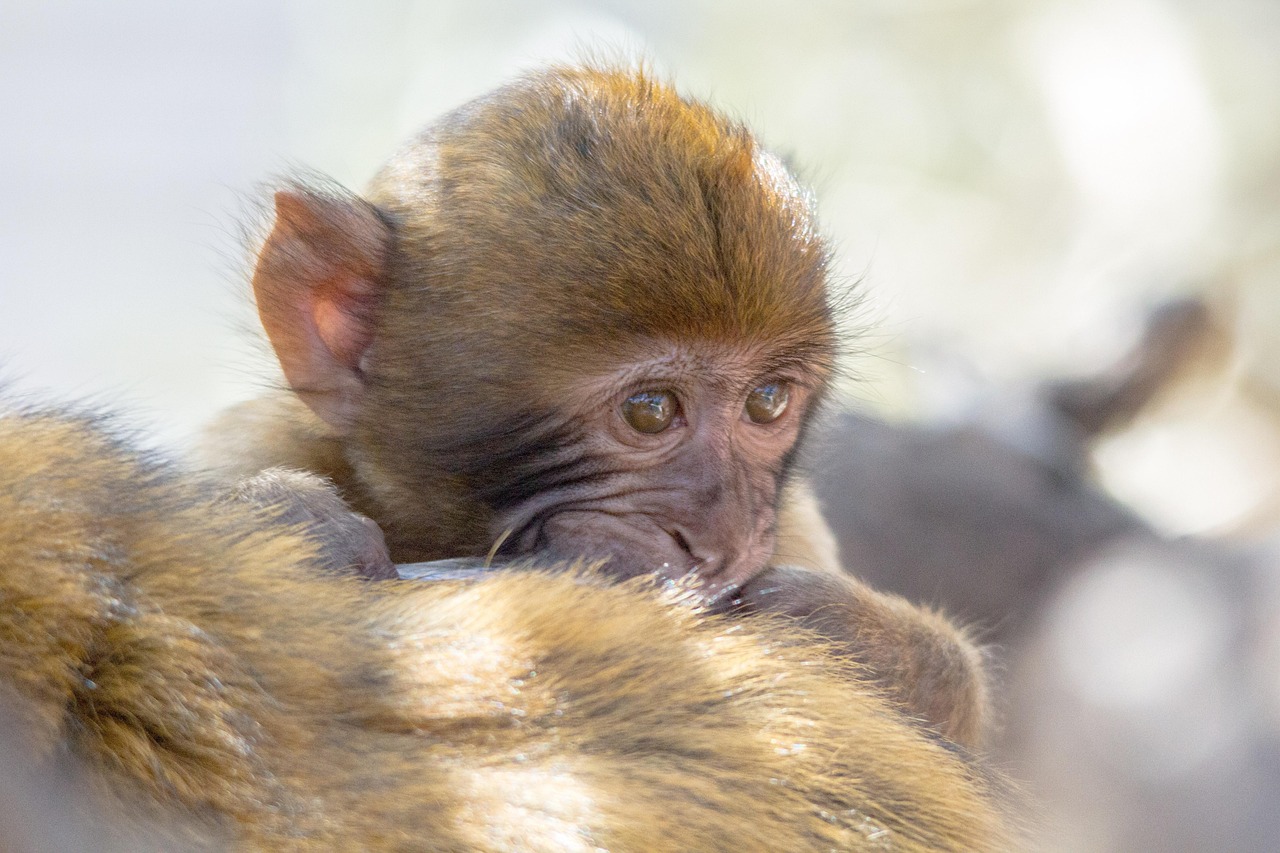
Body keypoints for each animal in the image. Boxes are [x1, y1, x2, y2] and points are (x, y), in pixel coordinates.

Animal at [199, 64, 991, 749]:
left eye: (767, 401)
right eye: (650, 411)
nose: (726, 540)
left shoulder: (793, 525)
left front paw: (862, 642)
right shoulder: (255, 442)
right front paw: (283, 530)